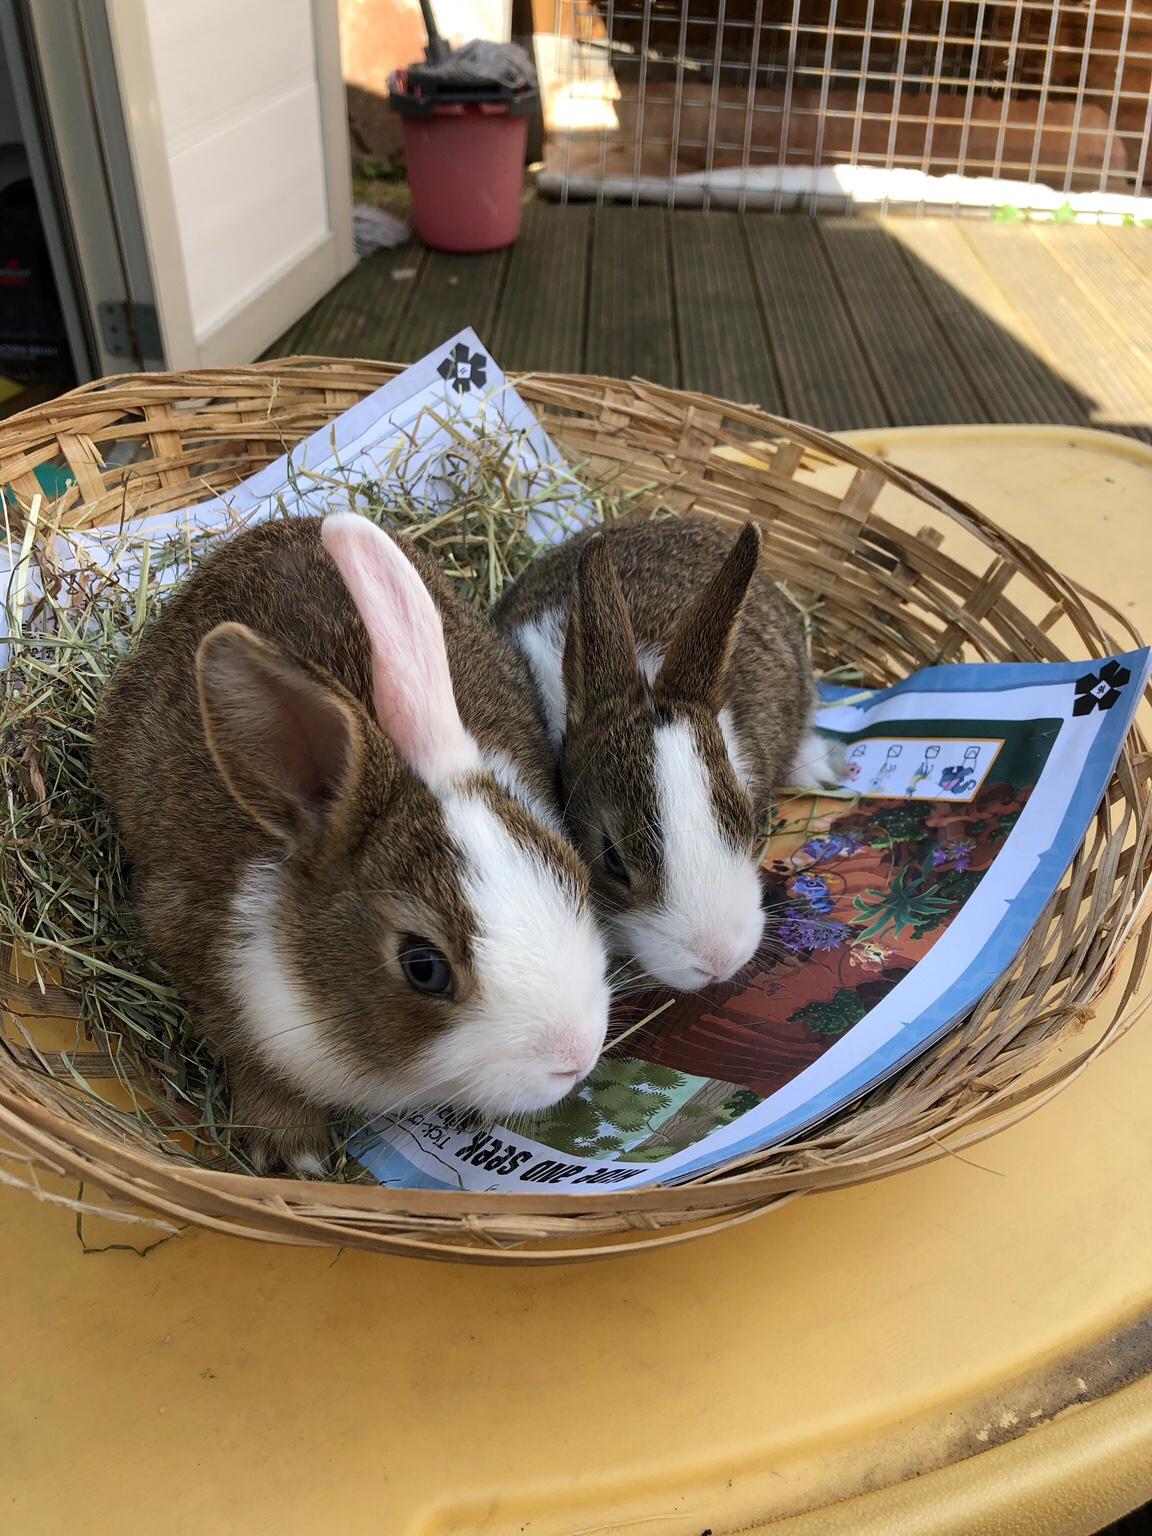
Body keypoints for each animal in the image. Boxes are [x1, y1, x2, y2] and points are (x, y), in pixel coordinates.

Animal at [94, 513, 611, 1175]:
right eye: (424, 968)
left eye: (574, 873)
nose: (576, 1056)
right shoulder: (197, 955)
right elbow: (251, 1063)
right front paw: (293, 1152)